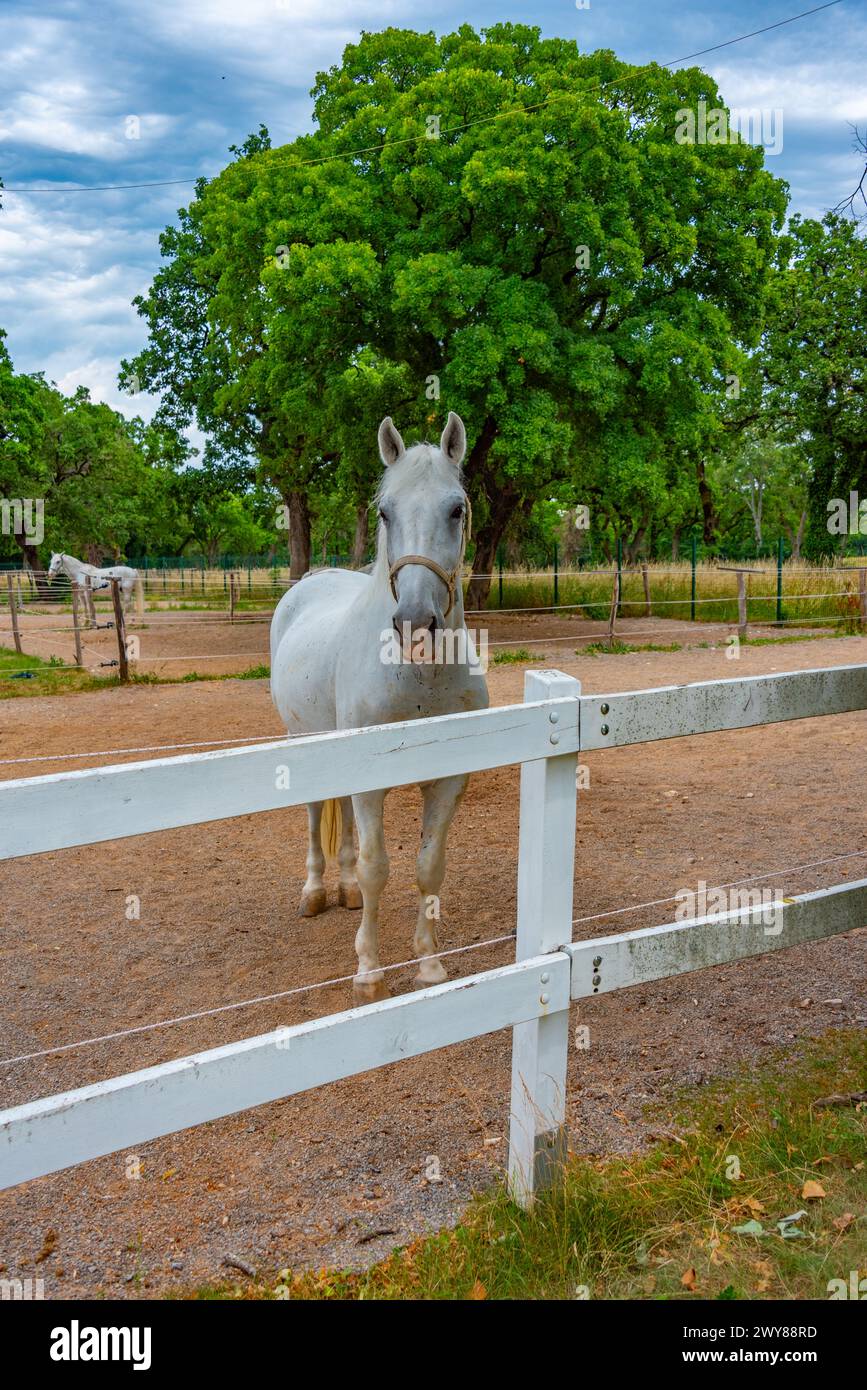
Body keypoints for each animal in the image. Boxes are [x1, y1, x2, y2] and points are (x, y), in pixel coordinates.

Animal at [270, 412, 489, 1002]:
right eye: (384, 512)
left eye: (456, 509)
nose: (414, 624)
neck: (417, 678)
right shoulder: (371, 782)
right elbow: (376, 869)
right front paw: (368, 972)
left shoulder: (448, 778)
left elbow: (428, 867)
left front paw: (429, 964)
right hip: (306, 743)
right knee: (315, 814)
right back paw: (315, 892)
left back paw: (342, 891)